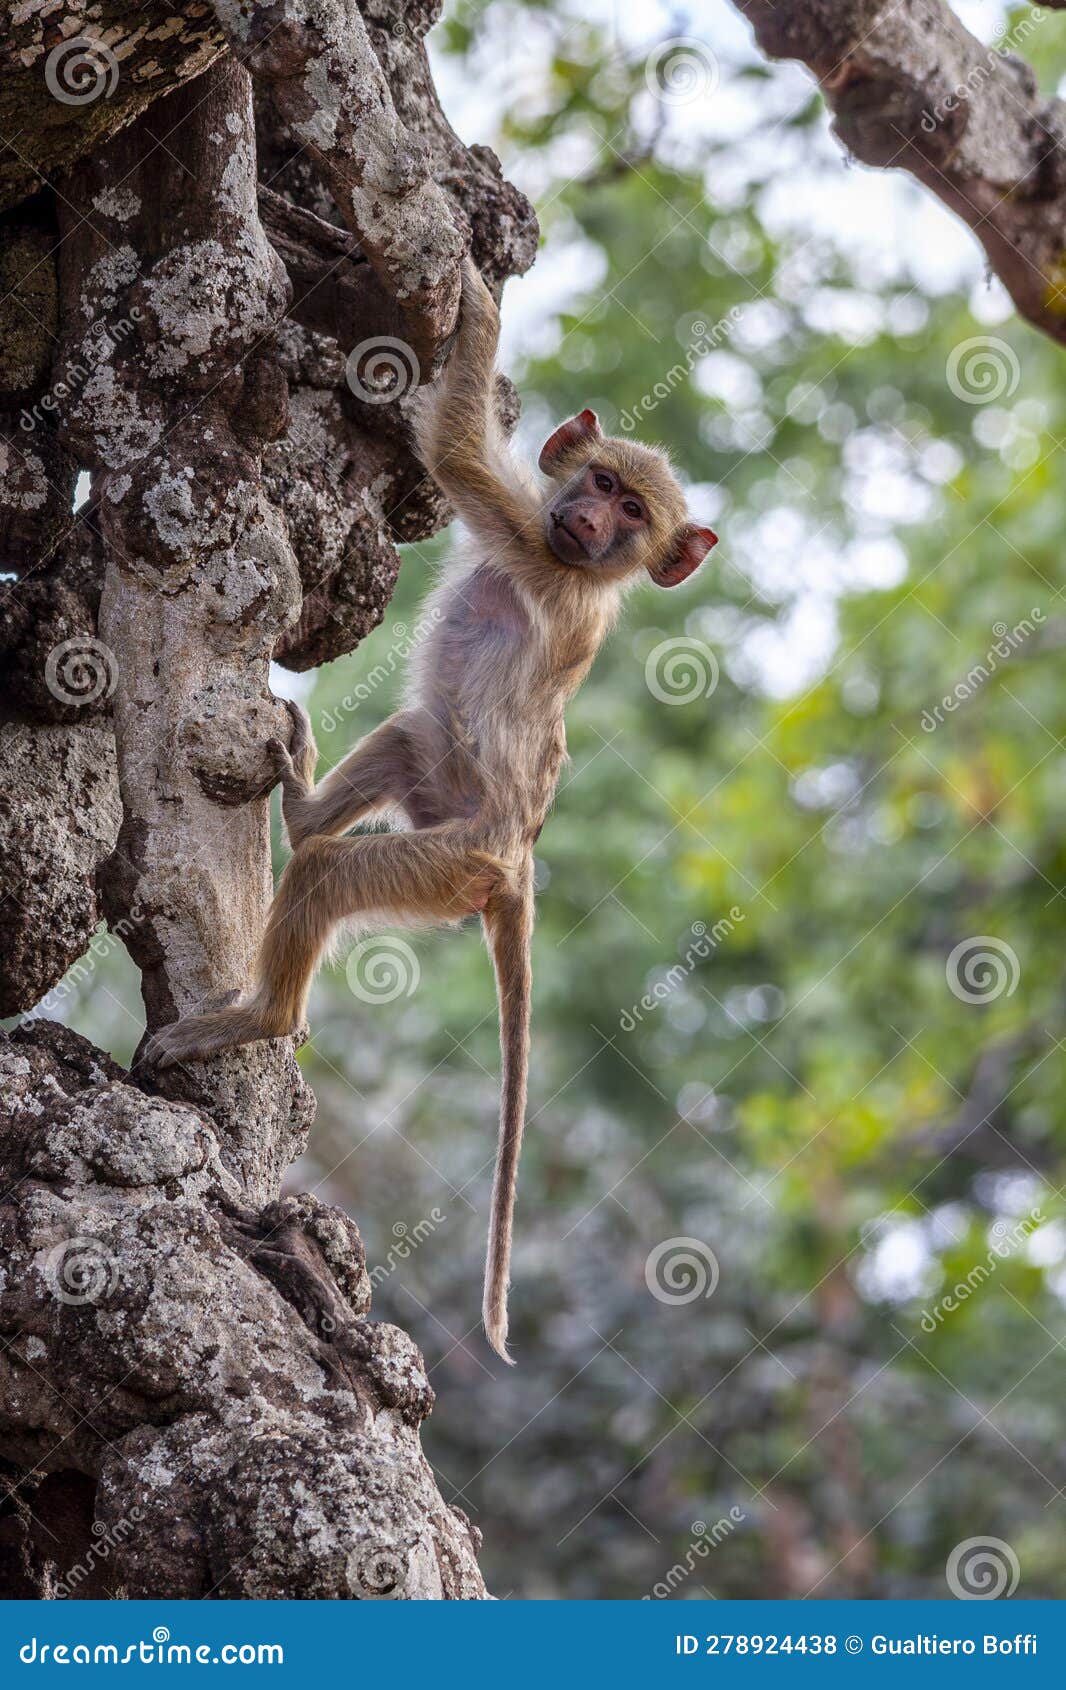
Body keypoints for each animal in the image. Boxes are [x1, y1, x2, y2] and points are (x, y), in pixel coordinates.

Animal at [146, 257, 717, 1363]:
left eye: (634, 515)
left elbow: (454, 451)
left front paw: (471, 294)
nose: (591, 523)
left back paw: (263, 1010)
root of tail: (517, 862)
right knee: (413, 736)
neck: (579, 570)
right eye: (601, 486)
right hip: (440, 815)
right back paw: (302, 807)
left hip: (450, 865)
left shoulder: (526, 536)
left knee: (331, 875)